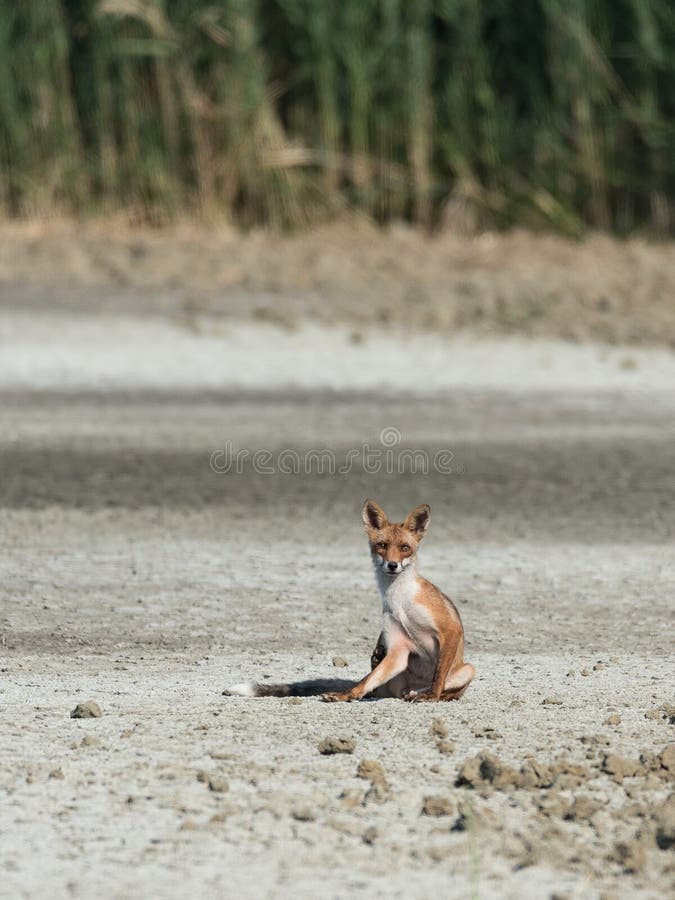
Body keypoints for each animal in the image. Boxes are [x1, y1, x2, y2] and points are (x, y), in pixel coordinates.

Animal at [226, 500, 476, 704]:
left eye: (405, 548)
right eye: (382, 545)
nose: (392, 565)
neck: (401, 601)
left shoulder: (450, 629)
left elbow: (438, 675)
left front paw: (432, 696)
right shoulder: (398, 650)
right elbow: (367, 681)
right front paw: (346, 694)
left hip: (469, 669)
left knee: (449, 690)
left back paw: (429, 694)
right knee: (368, 683)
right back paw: (351, 692)